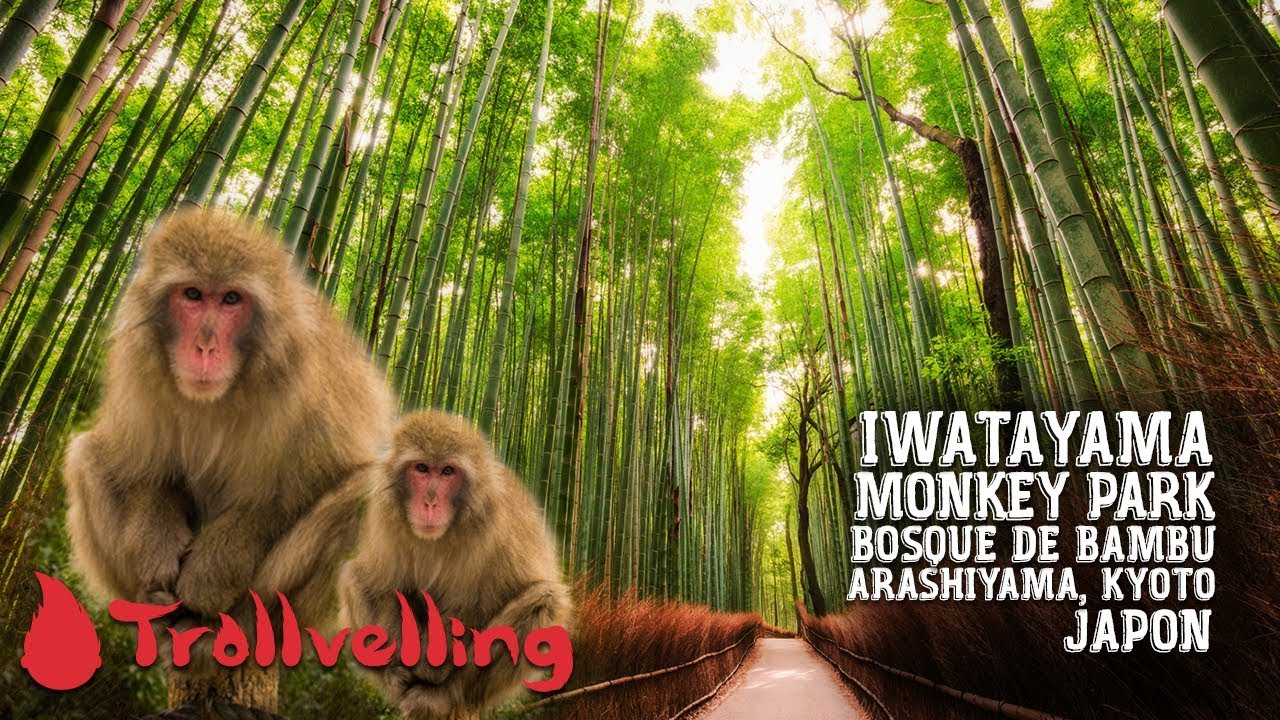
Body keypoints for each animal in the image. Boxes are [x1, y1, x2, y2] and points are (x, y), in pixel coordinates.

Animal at [62, 208, 392, 634]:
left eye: (231, 299)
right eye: (192, 294)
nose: (205, 346)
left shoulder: (312, 387)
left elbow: (295, 495)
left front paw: (210, 575)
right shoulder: (137, 370)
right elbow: (140, 470)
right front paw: (157, 548)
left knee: (364, 492)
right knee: (85, 456)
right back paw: (150, 607)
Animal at [339, 410, 572, 719]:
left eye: (448, 471)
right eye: (422, 468)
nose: (430, 502)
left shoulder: (493, 523)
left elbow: (482, 602)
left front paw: (430, 665)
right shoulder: (384, 513)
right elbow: (379, 583)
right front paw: (400, 655)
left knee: (545, 599)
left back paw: (442, 694)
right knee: (352, 576)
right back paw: (395, 680)